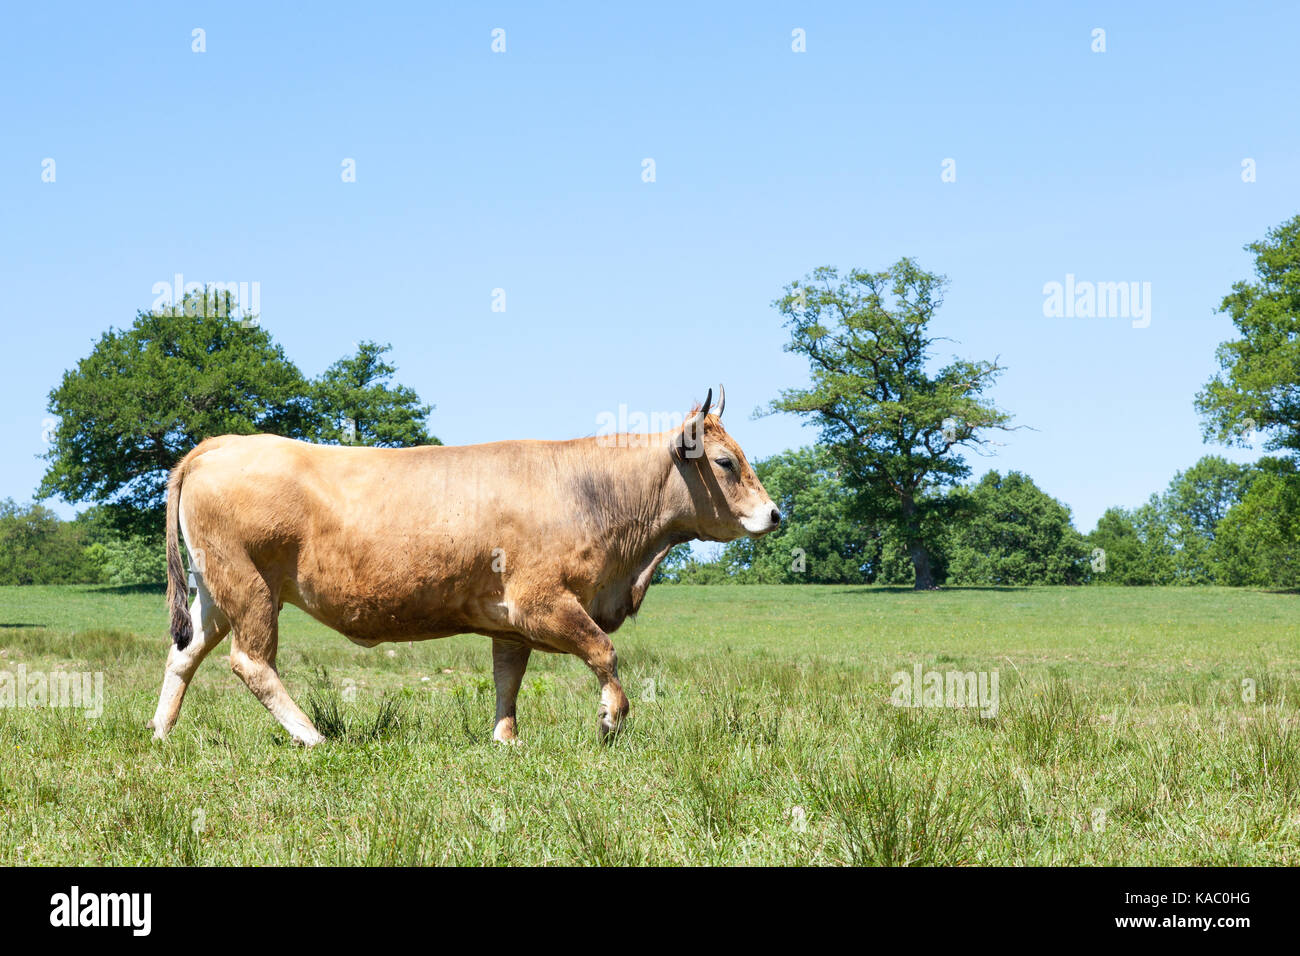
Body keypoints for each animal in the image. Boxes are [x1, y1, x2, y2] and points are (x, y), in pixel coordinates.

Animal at [152, 385, 780, 743]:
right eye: (725, 461)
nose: (775, 513)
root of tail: (220, 444)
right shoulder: (543, 599)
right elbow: (604, 650)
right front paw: (610, 718)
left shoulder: (510, 619)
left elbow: (508, 677)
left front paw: (506, 739)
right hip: (250, 586)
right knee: (250, 663)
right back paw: (312, 736)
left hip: (216, 590)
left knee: (185, 653)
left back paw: (161, 733)